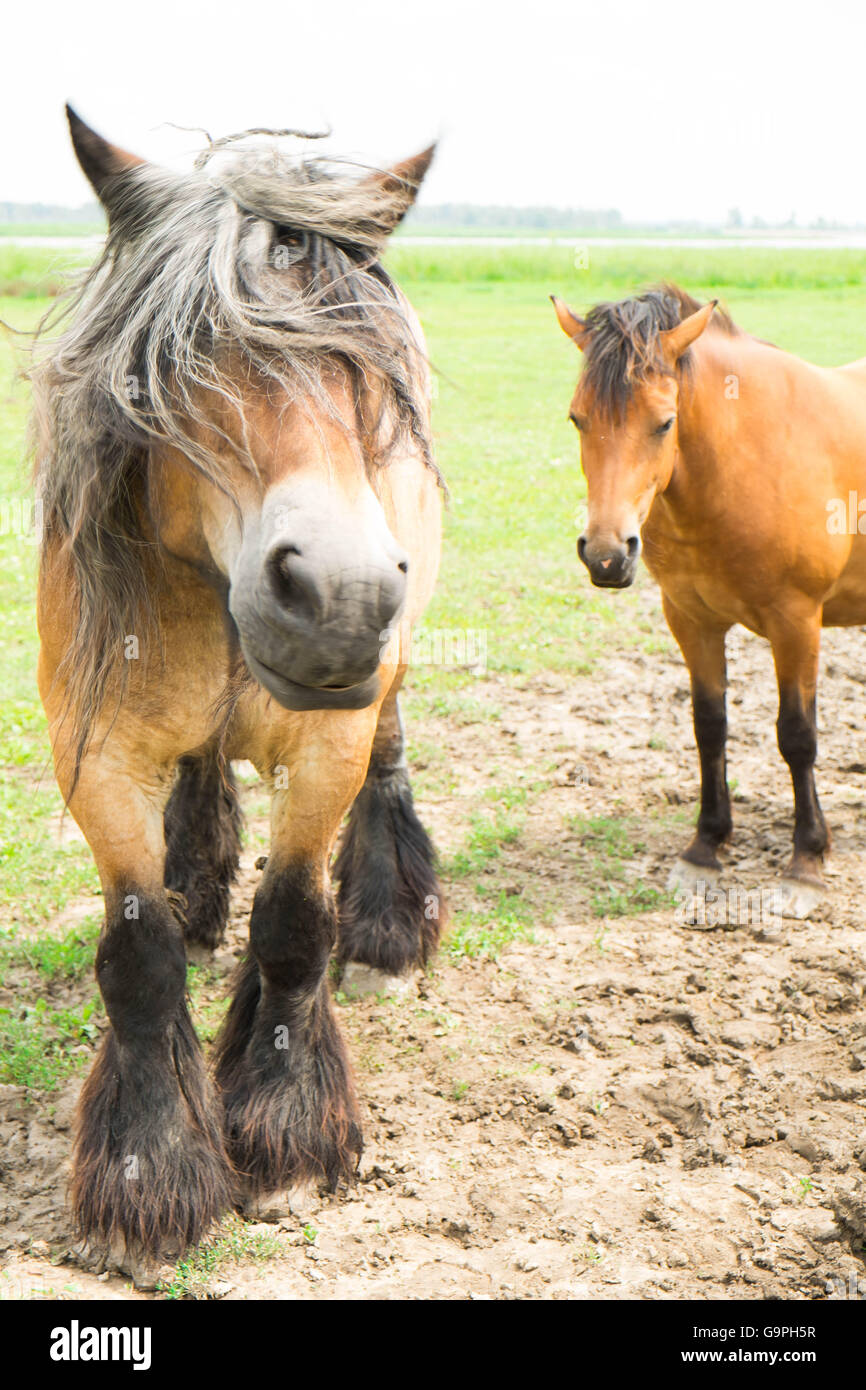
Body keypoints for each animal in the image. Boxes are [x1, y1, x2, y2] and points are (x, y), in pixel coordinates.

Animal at [31, 107, 445, 1284]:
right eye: (183, 360)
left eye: (360, 368)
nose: (340, 595)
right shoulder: (95, 753)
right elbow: (136, 954)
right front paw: (148, 1173)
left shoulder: (329, 740)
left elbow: (296, 923)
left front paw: (285, 1130)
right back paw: (200, 889)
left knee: (387, 763)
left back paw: (386, 930)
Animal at [551, 283, 866, 917]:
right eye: (577, 418)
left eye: (664, 422)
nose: (606, 556)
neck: (746, 456)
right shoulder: (690, 619)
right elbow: (709, 725)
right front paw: (705, 848)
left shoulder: (797, 623)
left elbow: (798, 736)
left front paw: (806, 863)